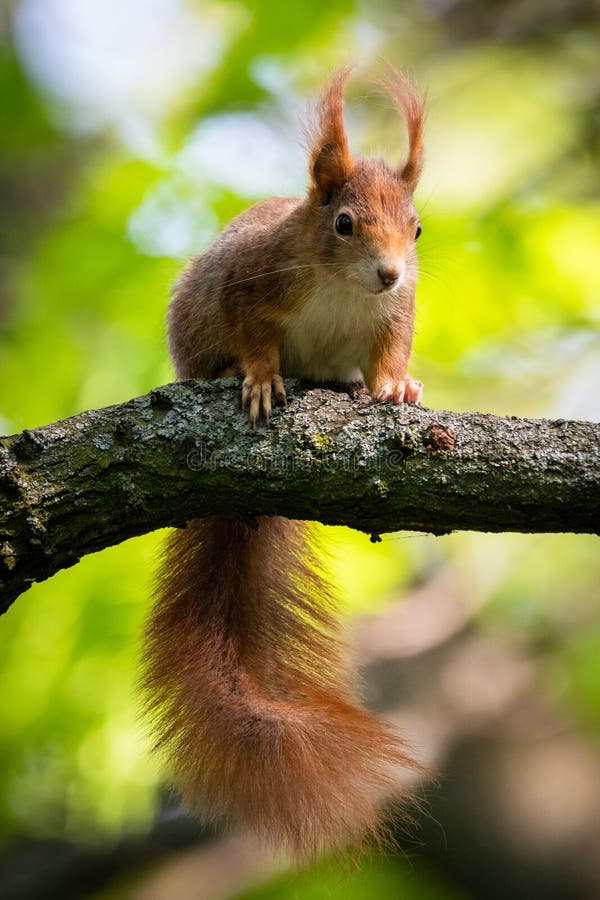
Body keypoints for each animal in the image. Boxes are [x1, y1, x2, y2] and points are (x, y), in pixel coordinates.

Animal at [142, 66, 426, 860]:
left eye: (418, 229)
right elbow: (252, 335)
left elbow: (391, 350)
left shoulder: (394, 317)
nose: (391, 274)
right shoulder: (250, 282)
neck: (342, 288)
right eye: (344, 224)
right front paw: (263, 379)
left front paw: (395, 385)